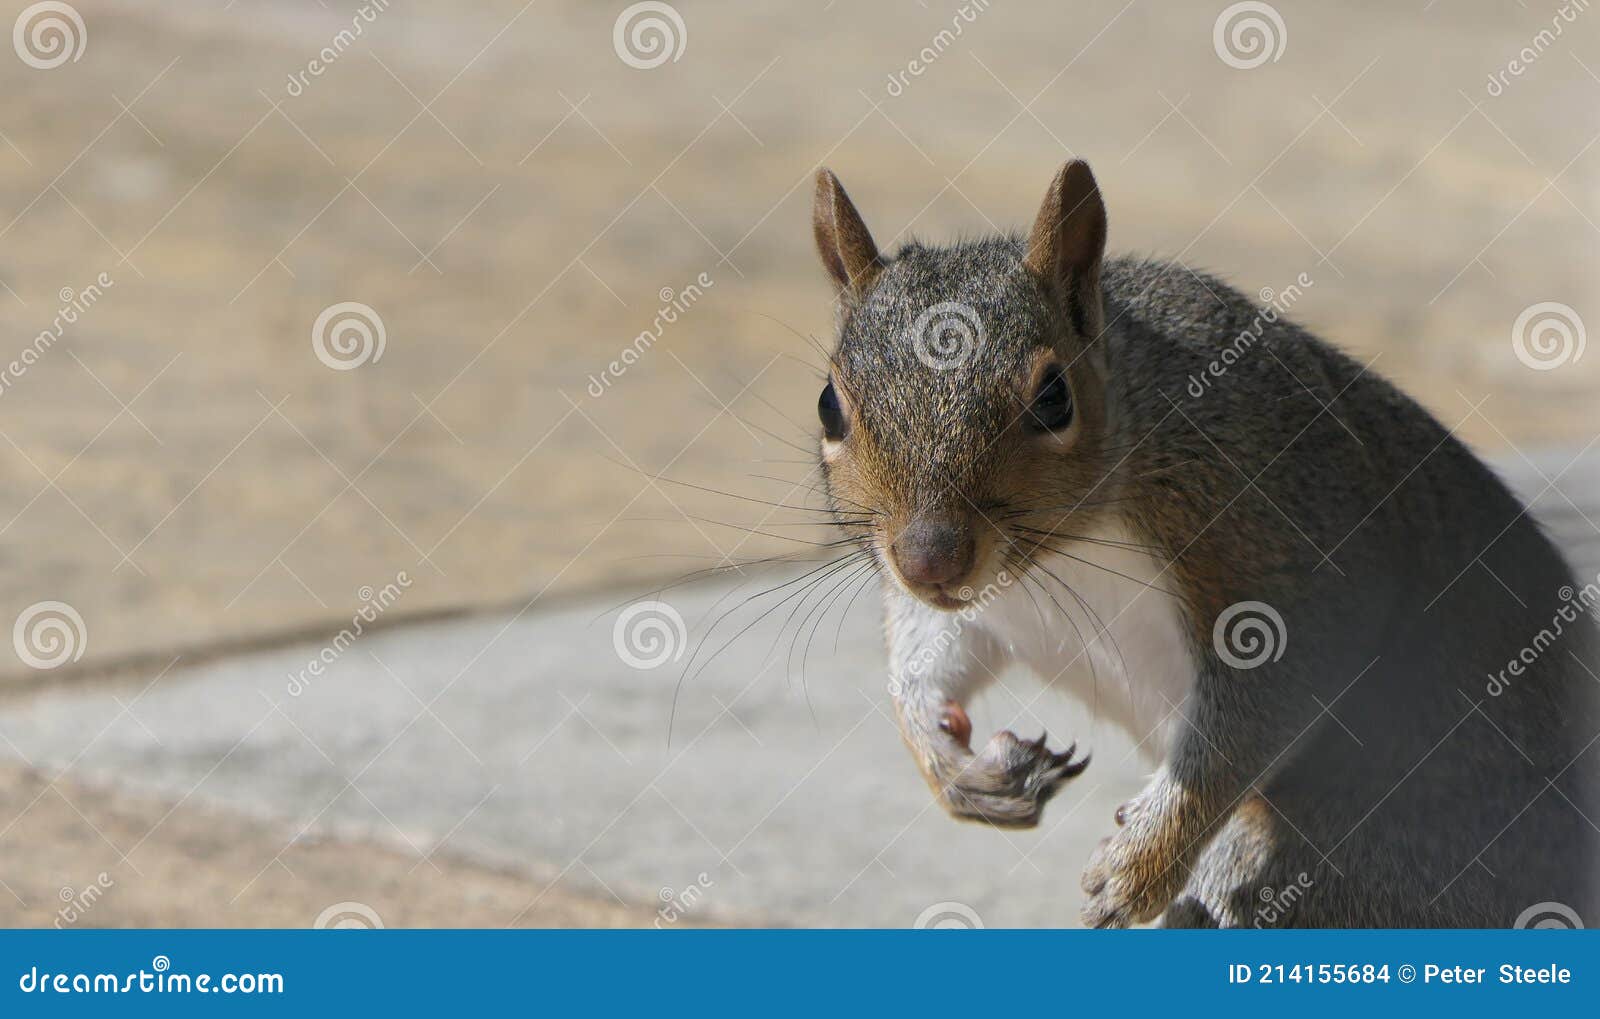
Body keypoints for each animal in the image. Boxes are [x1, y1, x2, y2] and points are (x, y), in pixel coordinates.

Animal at [808, 159, 1599, 928]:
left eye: (1055, 398)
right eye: (828, 405)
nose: (929, 559)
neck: (1062, 551)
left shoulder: (1267, 524)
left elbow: (1268, 699)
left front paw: (1139, 864)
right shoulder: (969, 600)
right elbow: (931, 655)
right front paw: (955, 767)